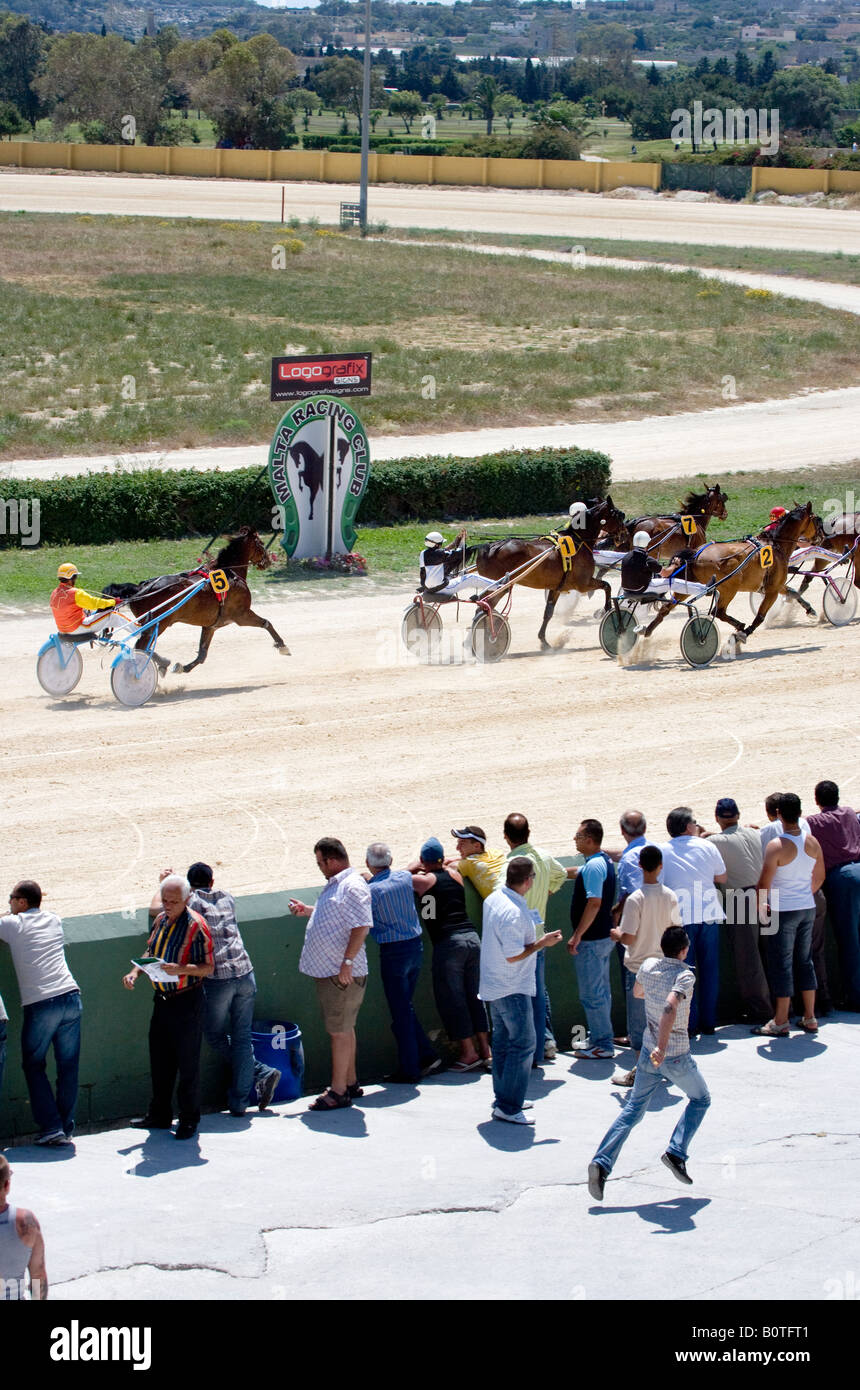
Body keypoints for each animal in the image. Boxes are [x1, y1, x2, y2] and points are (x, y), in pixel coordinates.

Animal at [107, 528, 290, 675]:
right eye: (261, 543)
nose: (268, 560)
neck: (230, 572)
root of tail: (141, 588)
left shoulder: (211, 625)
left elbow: (202, 654)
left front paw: (183, 667)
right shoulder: (241, 615)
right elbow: (266, 623)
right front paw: (282, 646)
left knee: (141, 648)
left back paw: (162, 663)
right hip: (157, 624)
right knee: (140, 648)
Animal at [468, 496, 628, 648]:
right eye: (620, 516)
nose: (625, 535)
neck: (578, 541)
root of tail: (489, 546)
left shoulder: (557, 587)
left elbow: (548, 613)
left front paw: (543, 640)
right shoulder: (583, 584)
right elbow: (607, 586)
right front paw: (608, 610)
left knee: (482, 609)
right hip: (500, 586)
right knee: (482, 610)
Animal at [637, 502, 819, 647]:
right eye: (816, 519)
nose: (820, 536)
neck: (775, 545)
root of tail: (696, 554)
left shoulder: (775, 585)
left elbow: (793, 592)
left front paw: (810, 610)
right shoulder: (772, 590)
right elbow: (760, 616)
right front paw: (744, 634)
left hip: (689, 585)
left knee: (666, 608)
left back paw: (647, 631)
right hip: (729, 588)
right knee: (719, 612)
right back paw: (739, 626)